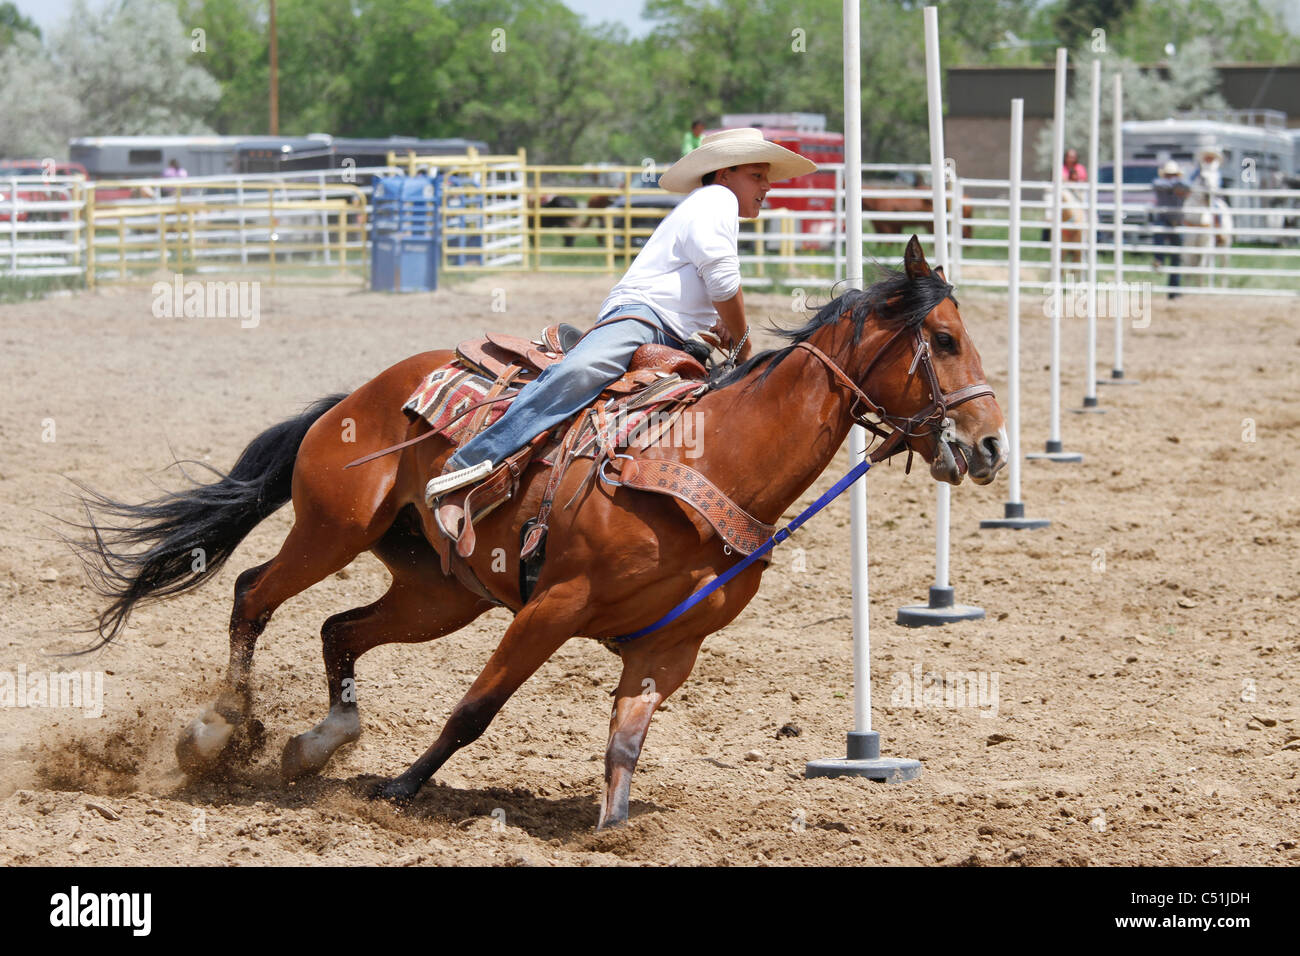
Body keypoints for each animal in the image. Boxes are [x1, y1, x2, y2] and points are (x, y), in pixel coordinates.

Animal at [72, 236, 1006, 831]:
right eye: (945, 339)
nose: (992, 446)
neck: (714, 460)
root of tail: (358, 395)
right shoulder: (553, 605)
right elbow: (475, 710)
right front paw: (401, 791)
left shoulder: (670, 644)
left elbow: (625, 742)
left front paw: (613, 828)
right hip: (330, 531)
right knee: (251, 594)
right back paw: (223, 731)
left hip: (438, 591)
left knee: (338, 628)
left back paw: (319, 742)